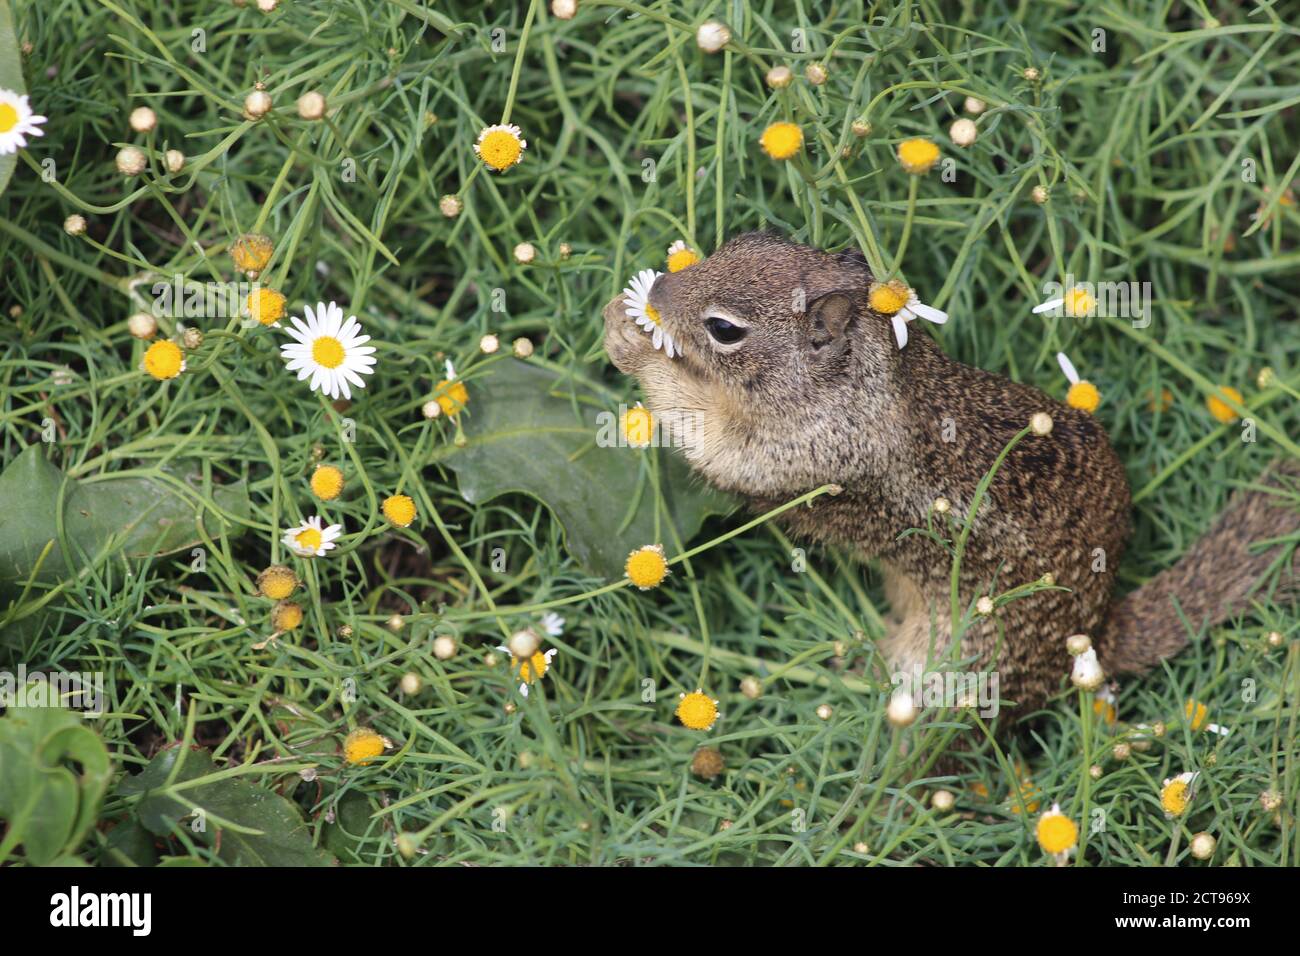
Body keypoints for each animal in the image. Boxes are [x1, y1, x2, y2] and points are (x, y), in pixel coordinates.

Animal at [603, 231, 1299, 725]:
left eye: (724, 329)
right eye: (742, 238)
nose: (657, 293)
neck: (871, 376)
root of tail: (1096, 634)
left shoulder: (797, 454)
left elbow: (711, 442)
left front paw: (631, 340)